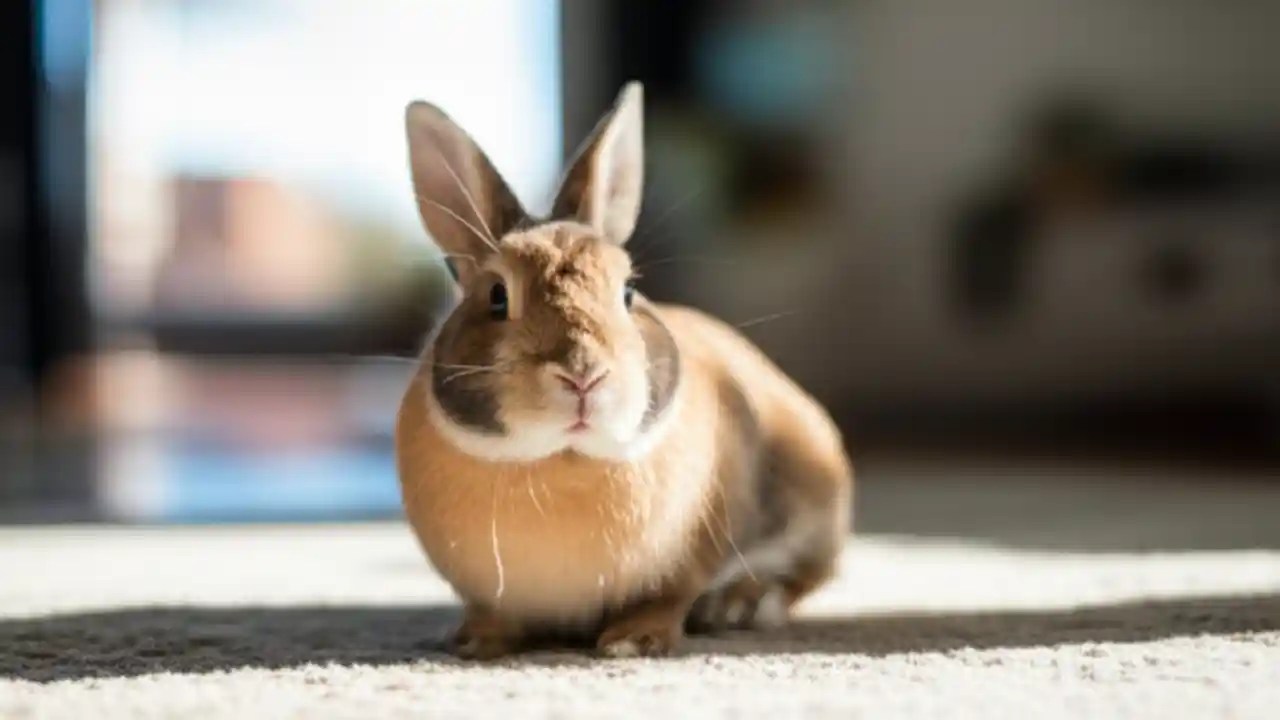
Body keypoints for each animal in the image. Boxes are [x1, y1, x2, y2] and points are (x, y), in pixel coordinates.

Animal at [395, 83, 852, 659]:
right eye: (497, 296)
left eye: (629, 291)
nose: (583, 376)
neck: (563, 458)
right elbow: (492, 612)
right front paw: (476, 642)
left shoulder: (688, 559)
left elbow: (666, 598)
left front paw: (633, 642)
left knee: (803, 575)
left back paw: (738, 606)